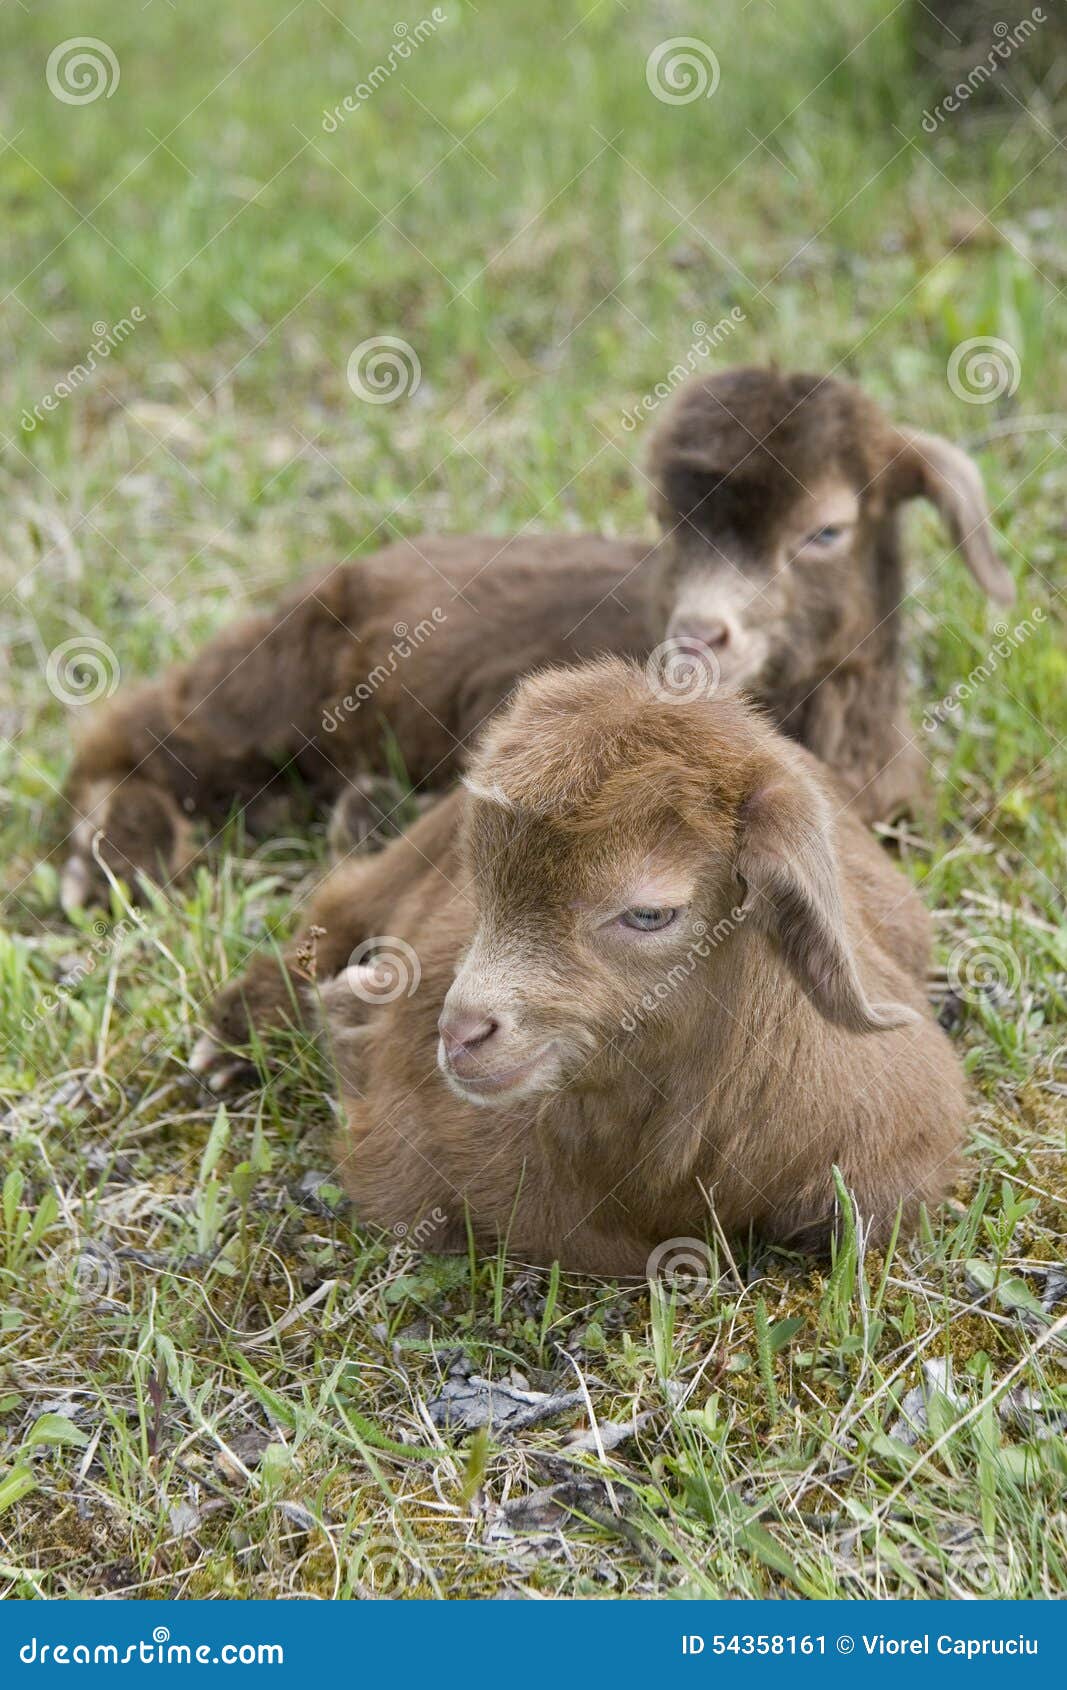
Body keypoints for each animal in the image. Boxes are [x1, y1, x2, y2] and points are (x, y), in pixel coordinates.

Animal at [56, 365, 1012, 910]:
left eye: (824, 532)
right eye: (671, 527)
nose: (696, 636)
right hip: (275, 678)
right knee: (133, 732)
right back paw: (111, 863)